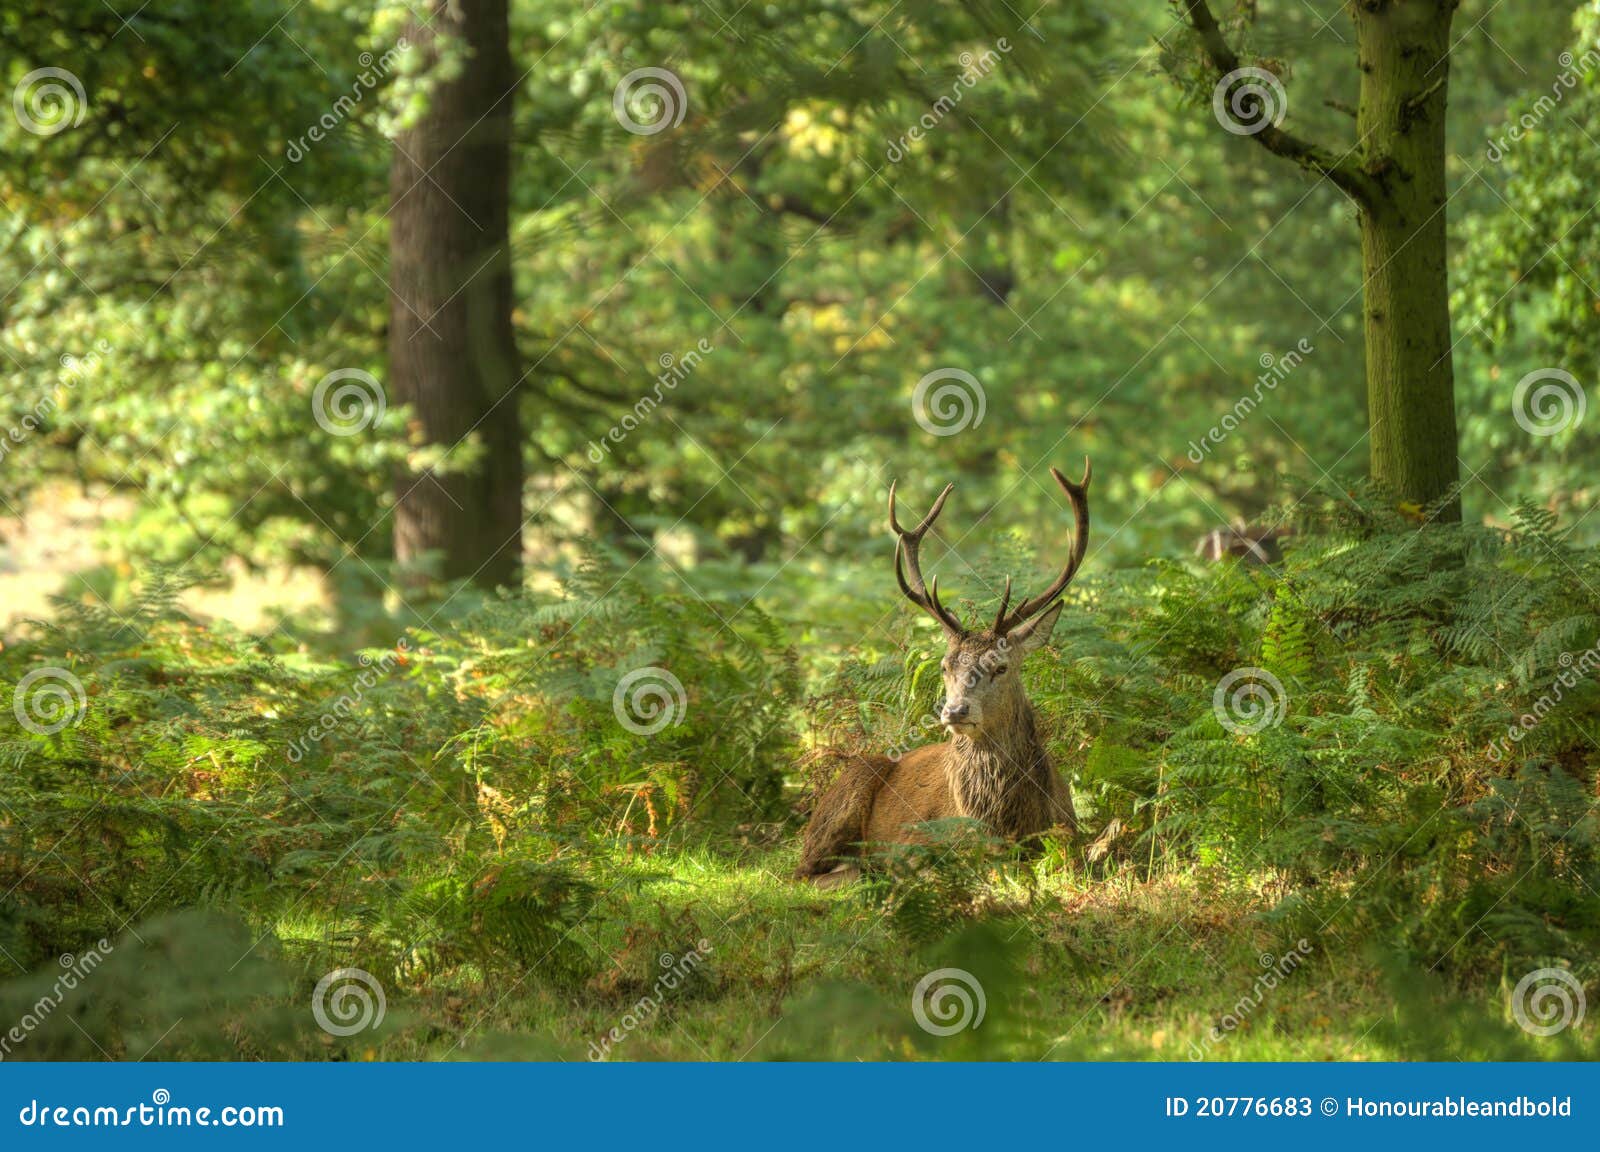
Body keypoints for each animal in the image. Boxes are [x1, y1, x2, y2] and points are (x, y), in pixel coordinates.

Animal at [795, 461, 1091, 886]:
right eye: (945, 665)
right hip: (849, 786)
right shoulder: (919, 844)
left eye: (1001, 666)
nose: (955, 712)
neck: (1007, 824)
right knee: (806, 872)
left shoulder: (1070, 833)